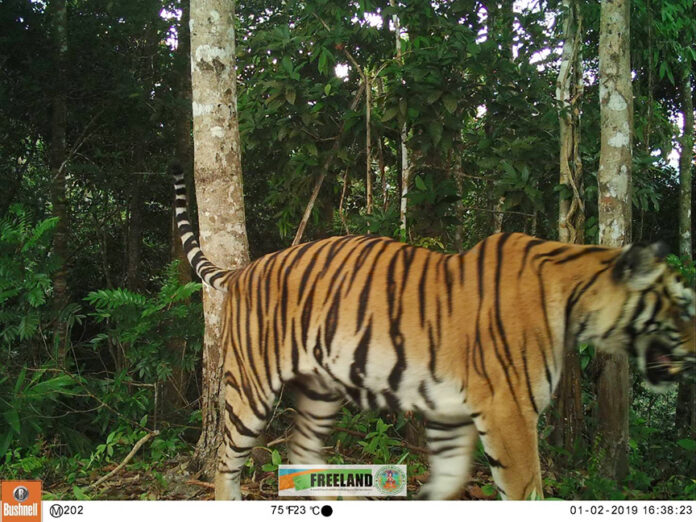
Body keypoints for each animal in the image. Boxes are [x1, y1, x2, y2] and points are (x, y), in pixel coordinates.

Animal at [172, 164, 695, 500]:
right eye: (684, 303)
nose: (695, 350)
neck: (576, 299)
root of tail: (245, 269)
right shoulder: (509, 413)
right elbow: (526, 492)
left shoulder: (452, 414)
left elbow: (447, 483)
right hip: (251, 387)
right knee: (225, 462)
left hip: (321, 391)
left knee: (300, 451)